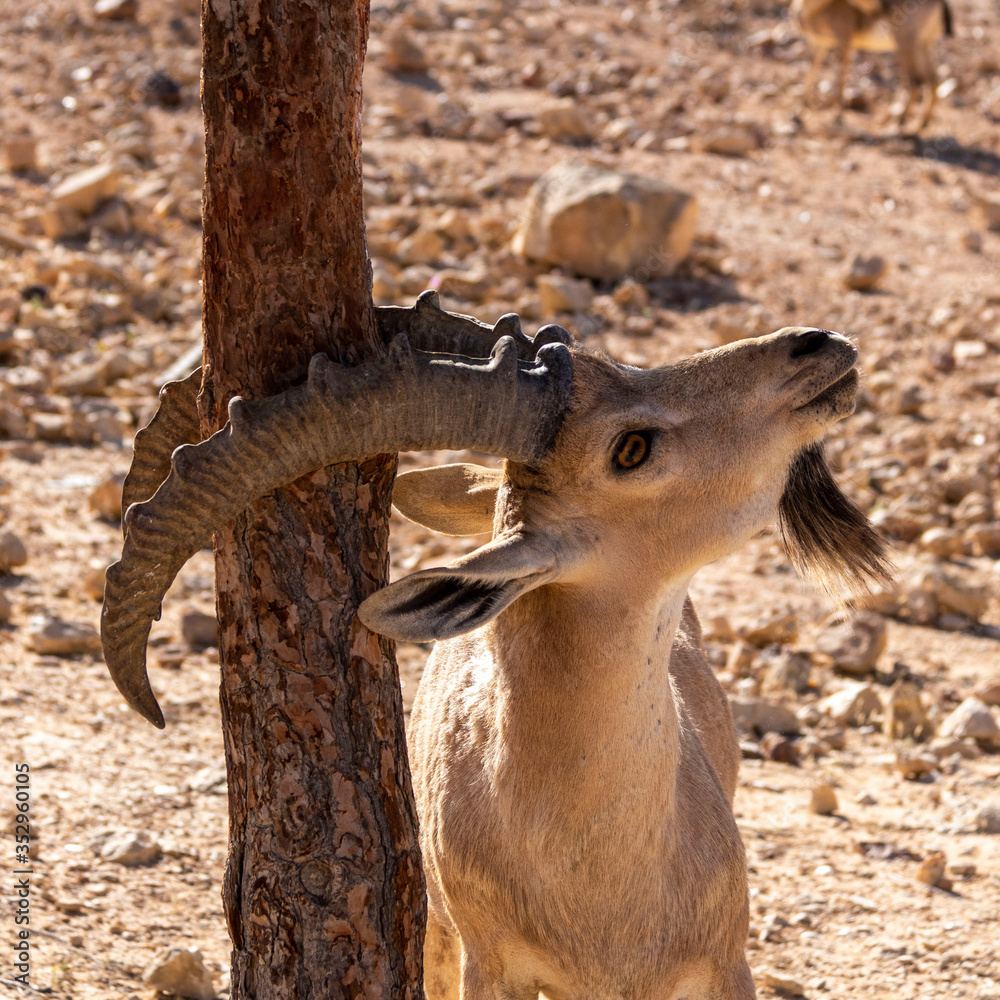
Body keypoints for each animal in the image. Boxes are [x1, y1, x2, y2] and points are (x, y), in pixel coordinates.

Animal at [791, 0, 953, 131]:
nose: (882, 7)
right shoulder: (820, 45)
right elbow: (810, 73)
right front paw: (798, 114)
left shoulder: (844, 44)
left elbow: (841, 79)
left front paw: (838, 116)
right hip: (922, 47)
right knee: (933, 79)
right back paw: (921, 123)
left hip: (905, 46)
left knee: (916, 80)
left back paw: (900, 121)